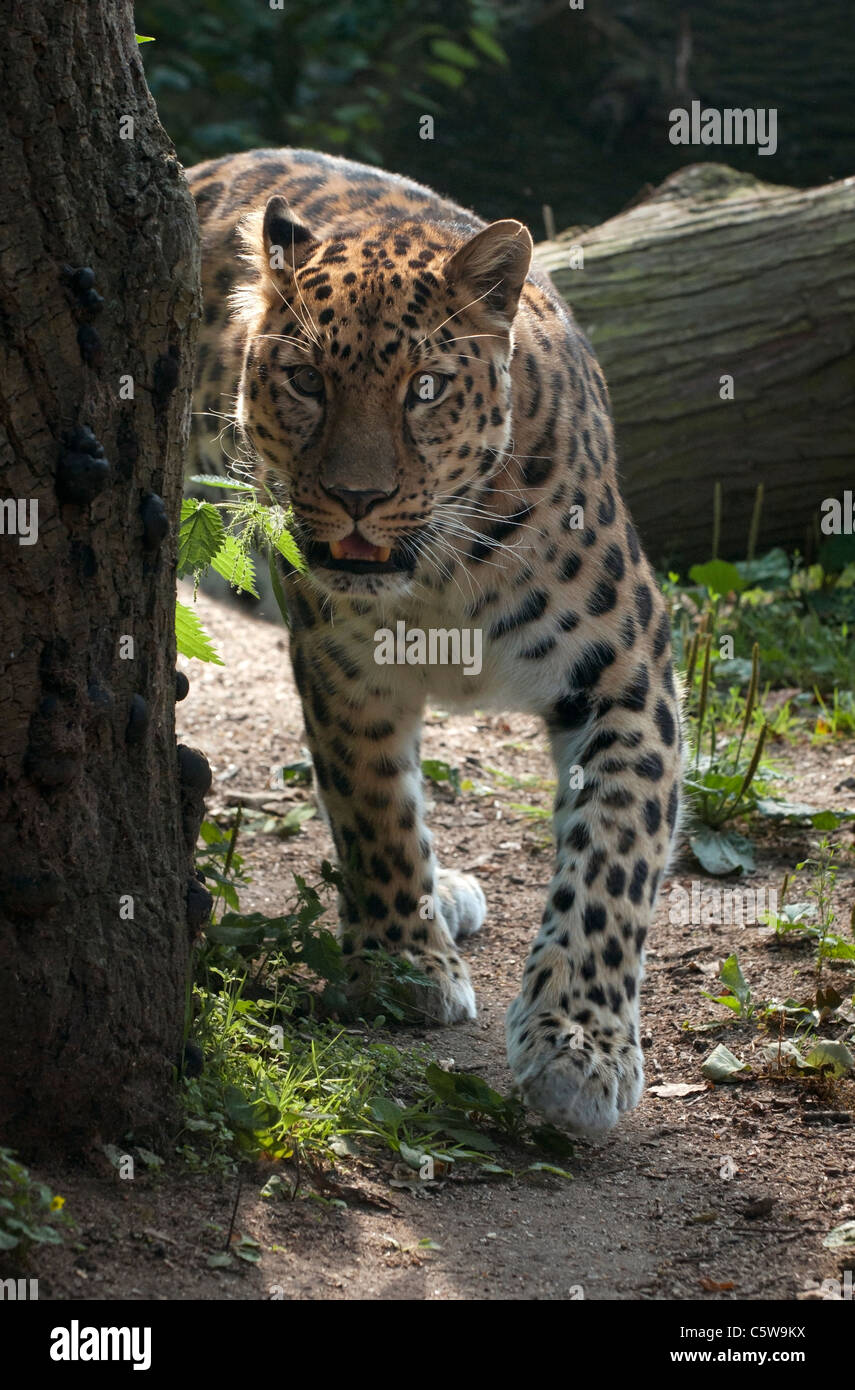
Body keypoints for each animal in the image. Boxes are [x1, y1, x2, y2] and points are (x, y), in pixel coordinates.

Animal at [187, 148, 683, 1138]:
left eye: (424, 390)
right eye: (306, 381)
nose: (357, 499)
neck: (448, 574)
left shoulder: (632, 670)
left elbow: (613, 857)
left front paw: (580, 1046)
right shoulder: (342, 665)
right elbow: (374, 809)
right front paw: (401, 961)